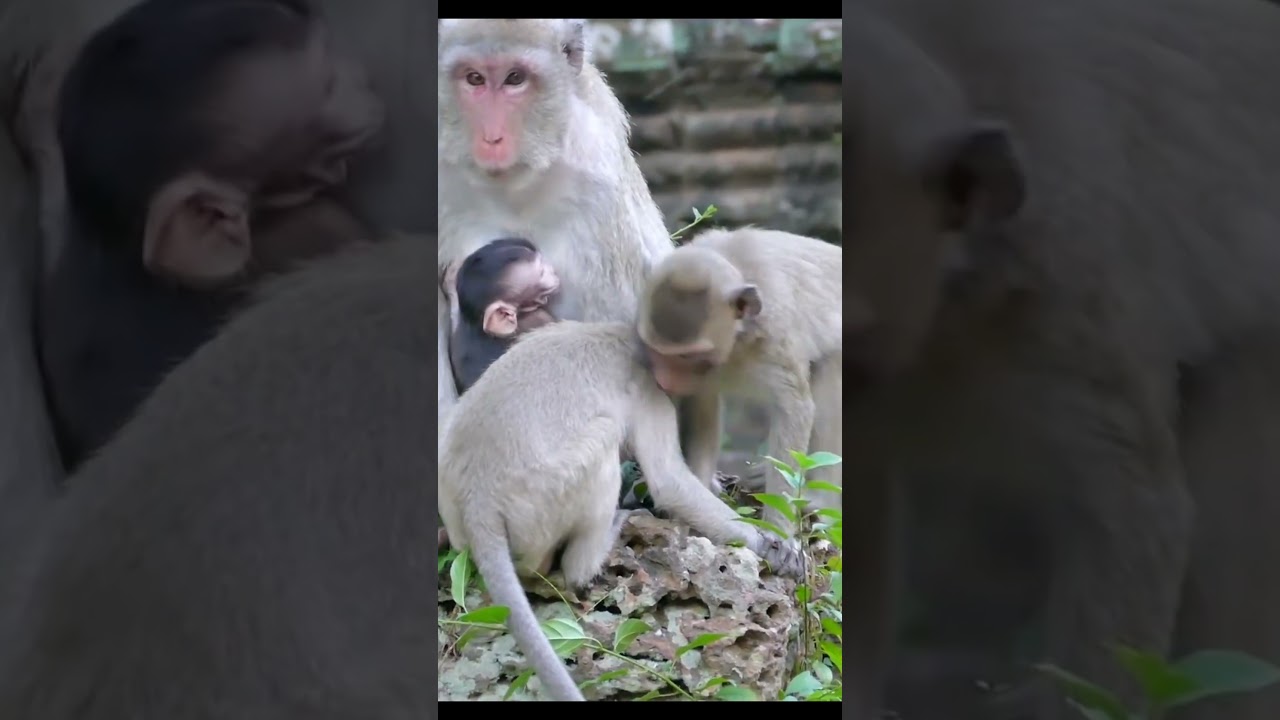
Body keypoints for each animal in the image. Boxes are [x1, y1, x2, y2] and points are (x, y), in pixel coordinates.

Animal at [439, 319, 805, 702]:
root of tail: (478, 505)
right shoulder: (646, 386)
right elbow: (668, 480)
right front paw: (771, 546)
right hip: (543, 499)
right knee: (605, 435)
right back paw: (593, 552)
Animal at [637, 227, 843, 532]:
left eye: (687, 356)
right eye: (655, 350)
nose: (665, 380)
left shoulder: (773, 337)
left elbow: (794, 407)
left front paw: (778, 530)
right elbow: (703, 406)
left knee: (831, 367)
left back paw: (820, 499)